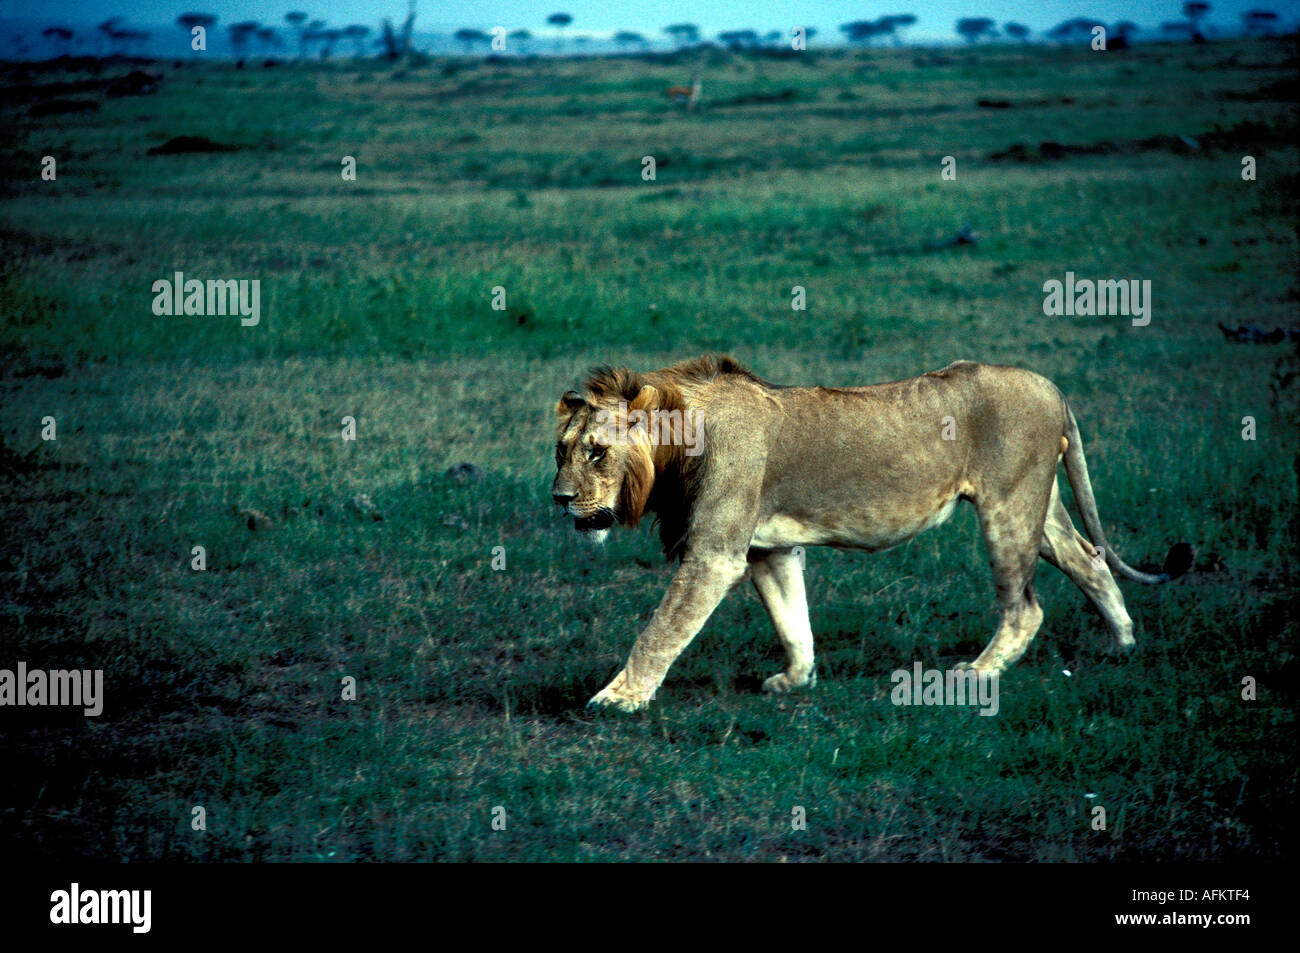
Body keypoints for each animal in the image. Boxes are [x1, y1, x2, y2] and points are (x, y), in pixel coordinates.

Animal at [552, 355, 1184, 712]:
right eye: (560, 451)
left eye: (597, 451)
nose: (558, 499)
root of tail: (1051, 387)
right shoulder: (768, 551)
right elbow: (793, 622)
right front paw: (797, 680)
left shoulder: (715, 555)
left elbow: (658, 632)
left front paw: (618, 699)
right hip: (1039, 506)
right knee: (1090, 560)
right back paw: (1123, 642)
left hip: (1007, 510)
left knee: (1025, 607)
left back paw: (978, 673)